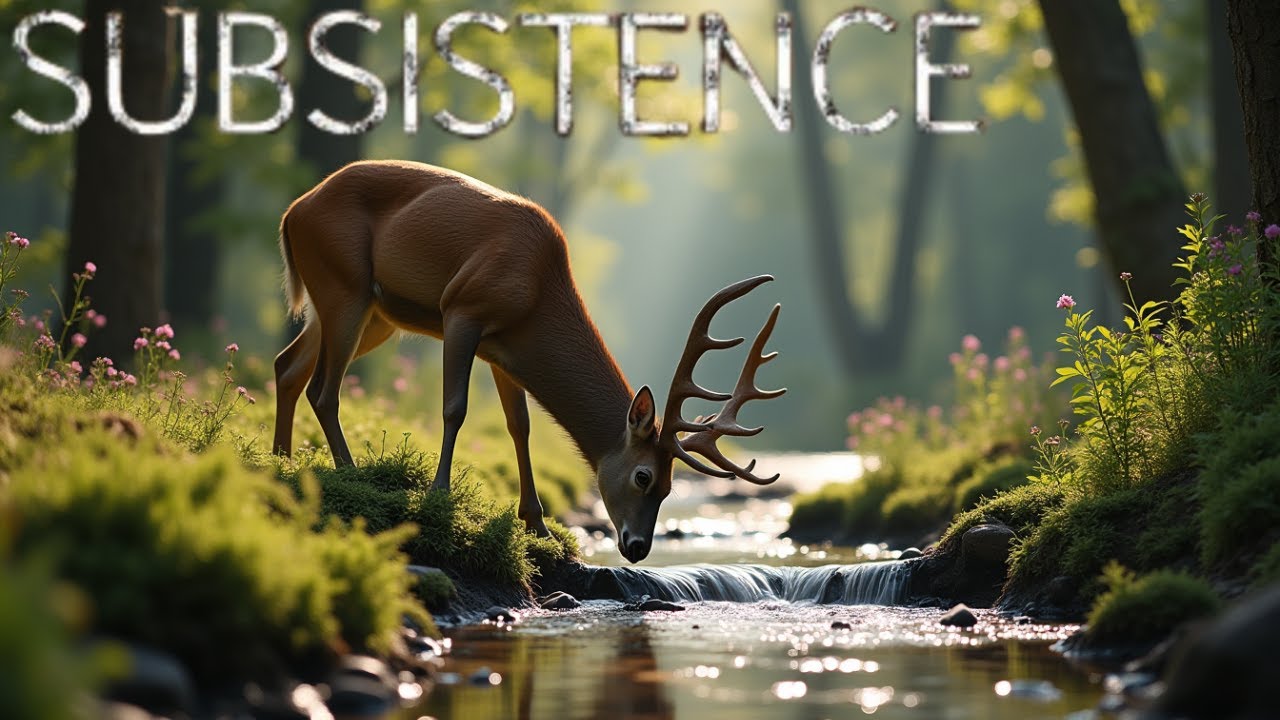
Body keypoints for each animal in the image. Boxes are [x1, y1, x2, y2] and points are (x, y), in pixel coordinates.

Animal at [271, 160, 784, 563]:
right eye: (644, 476)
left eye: (670, 489)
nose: (638, 547)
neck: (537, 292)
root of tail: (291, 213)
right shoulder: (462, 309)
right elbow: (454, 408)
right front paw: (440, 496)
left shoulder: (502, 350)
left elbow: (520, 425)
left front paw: (536, 525)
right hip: (345, 284)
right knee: (323, 388)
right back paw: (349, 471)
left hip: (370, 312)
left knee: (287, 365)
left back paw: (279, 459)